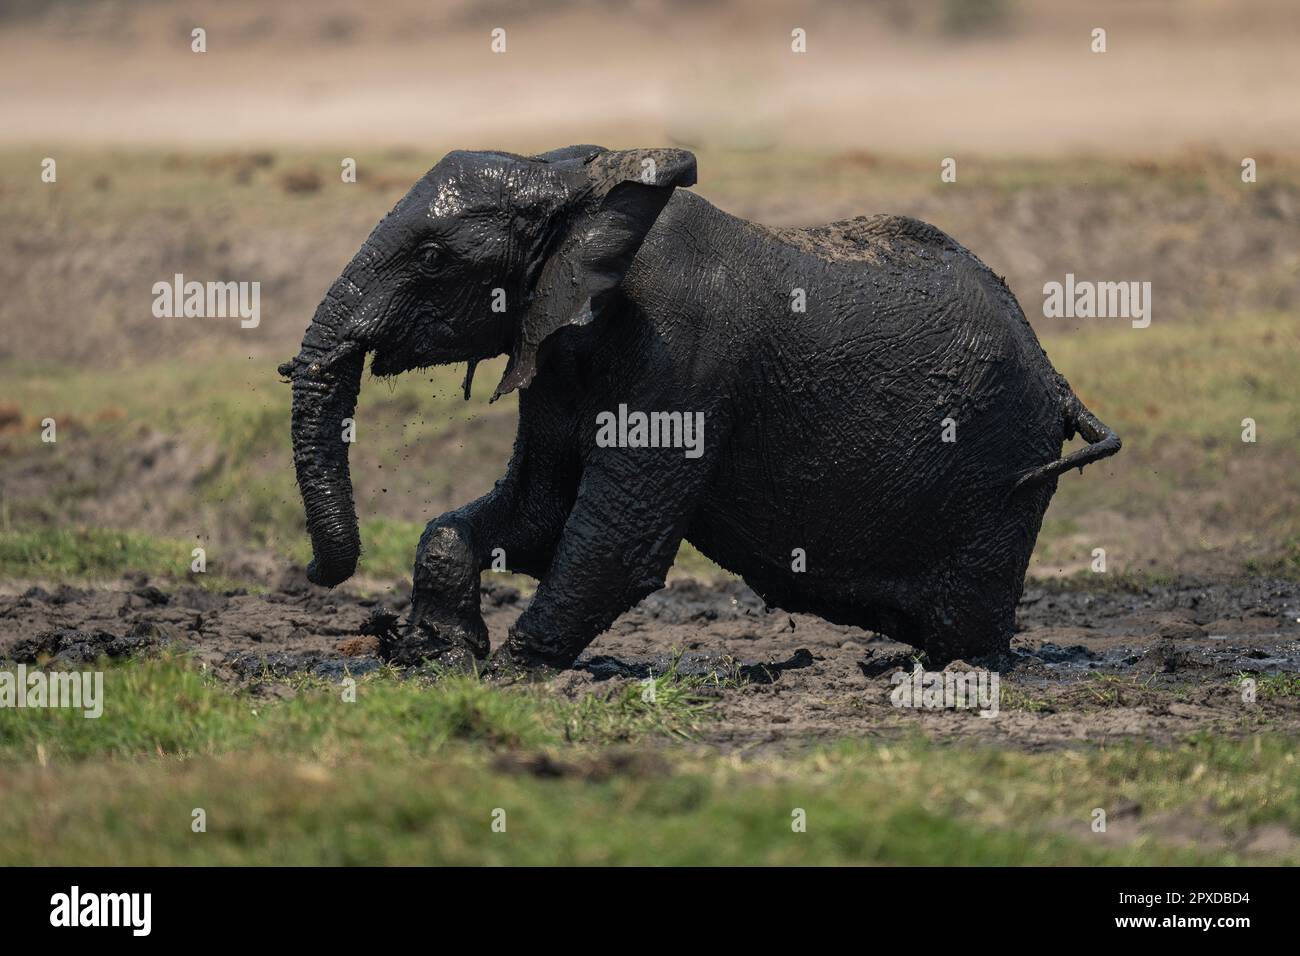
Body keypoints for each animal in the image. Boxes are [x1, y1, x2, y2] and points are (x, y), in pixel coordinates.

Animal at [280, 144, 1120, 675]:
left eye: (429, 259)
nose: (314, 574)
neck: (576, 187)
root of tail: (1056, 376)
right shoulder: (557, 353)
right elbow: (534, 515)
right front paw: (436, 656)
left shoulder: (680, 360)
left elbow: (615, 540)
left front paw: (509, 672)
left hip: (999, 466)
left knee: (969, 618)